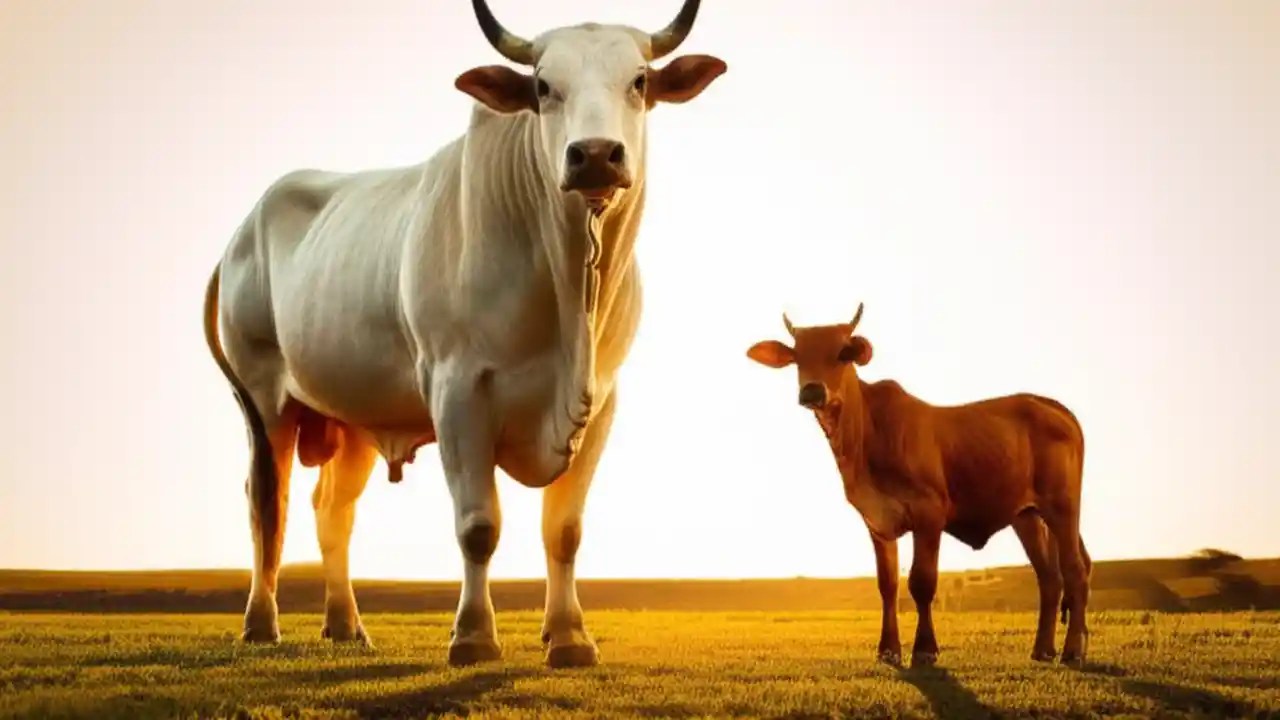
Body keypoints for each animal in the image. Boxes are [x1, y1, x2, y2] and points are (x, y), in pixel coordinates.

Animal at [201, 0, 727, 669]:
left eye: (638, 80)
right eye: (542, 87)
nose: (594, 155)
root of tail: (243, 231)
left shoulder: (603, 400)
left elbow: (564, 530)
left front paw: (569, 636)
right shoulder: (458, 392)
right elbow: (479, 526)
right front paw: (474, 635)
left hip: (353, 419)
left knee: (332, 512)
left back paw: (346, 624)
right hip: (263, 401)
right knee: (268, 506)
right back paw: (261, 622)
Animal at [746, 304, 1092, 667]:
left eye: (842, 353)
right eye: (797, 356)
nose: (812, 392)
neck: (864, 437)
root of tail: (1050, 405)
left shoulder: (929, 514)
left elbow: (922, 582)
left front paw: (925, 649)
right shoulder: (877, 522)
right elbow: (888, 586)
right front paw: (888, 649)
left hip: (1062, 506)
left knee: (1075, 569)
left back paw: (1072, 650)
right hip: (1025, 516)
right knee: (1049, 577)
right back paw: (1043, 649)